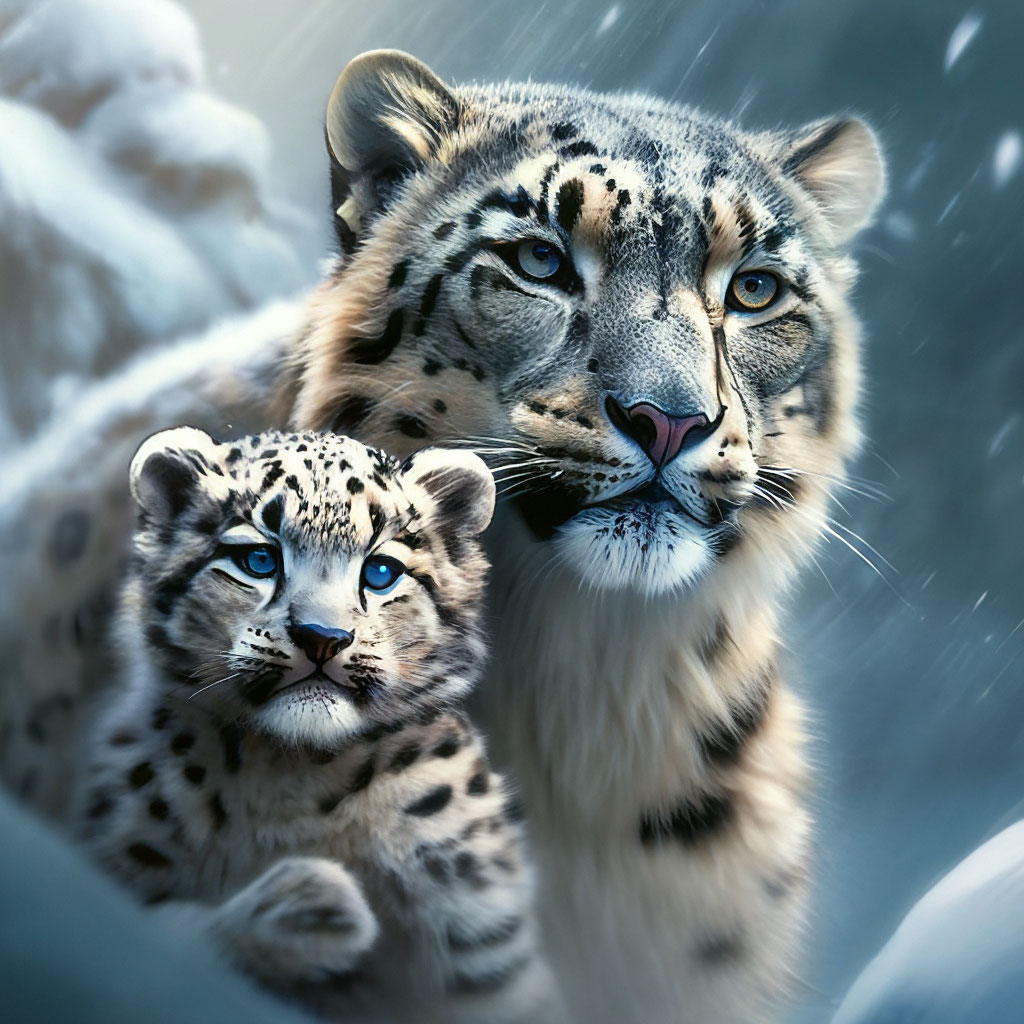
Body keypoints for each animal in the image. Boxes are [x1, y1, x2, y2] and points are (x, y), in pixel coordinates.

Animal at [75, 426, 564, 1023]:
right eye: (259, 559)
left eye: (381, 571)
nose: (322, 637)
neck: (290, 776)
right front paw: (314, 907)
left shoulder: (484, 944)